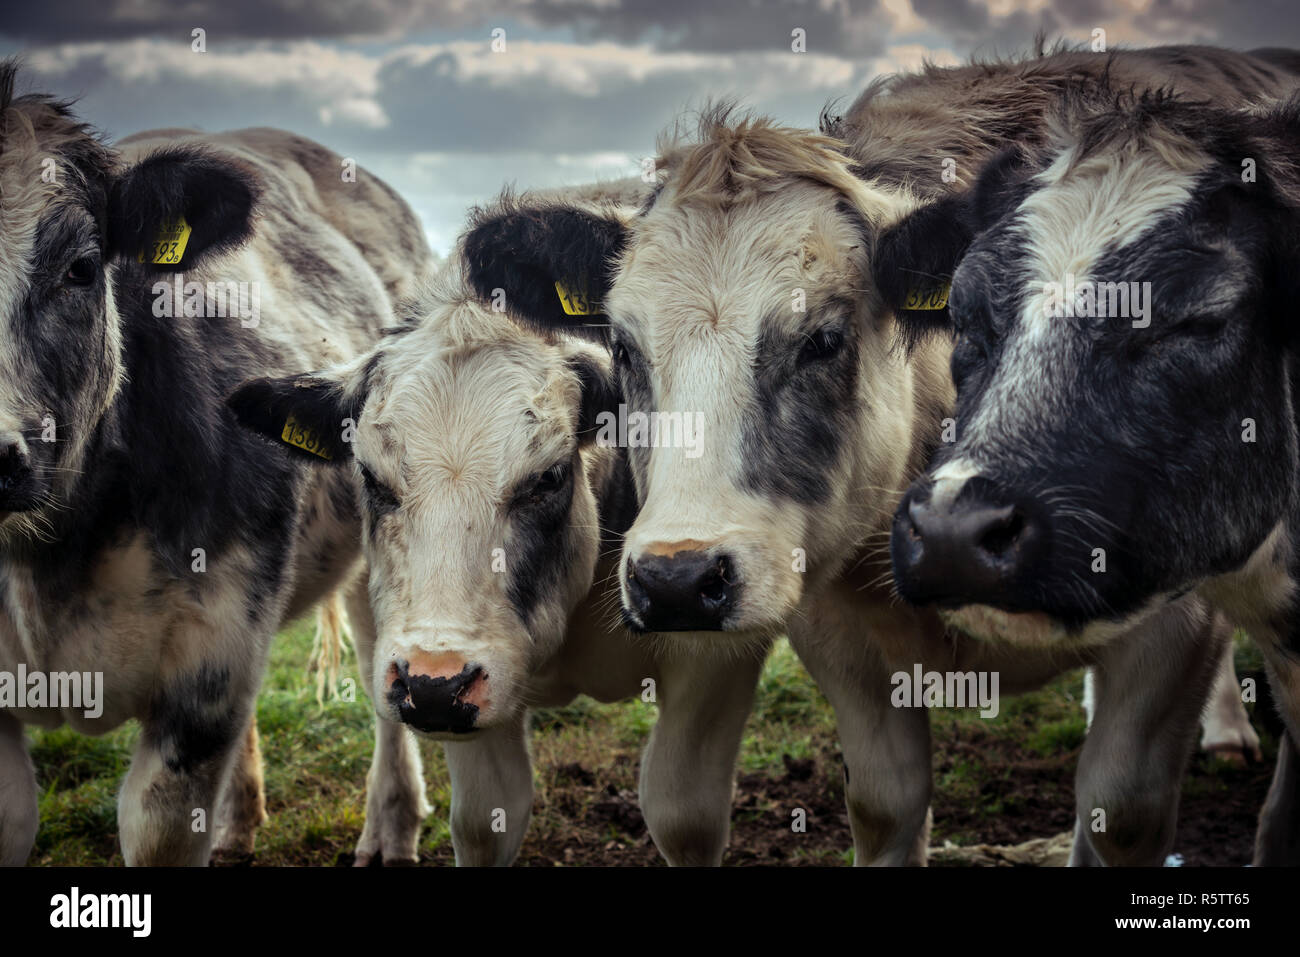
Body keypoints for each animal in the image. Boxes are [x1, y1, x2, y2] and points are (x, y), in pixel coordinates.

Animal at [228, 243, 767, 866]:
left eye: (549, 477)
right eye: (370, 476)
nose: (432, 684)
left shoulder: (718, 660)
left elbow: (684, 819)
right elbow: (485, 825)